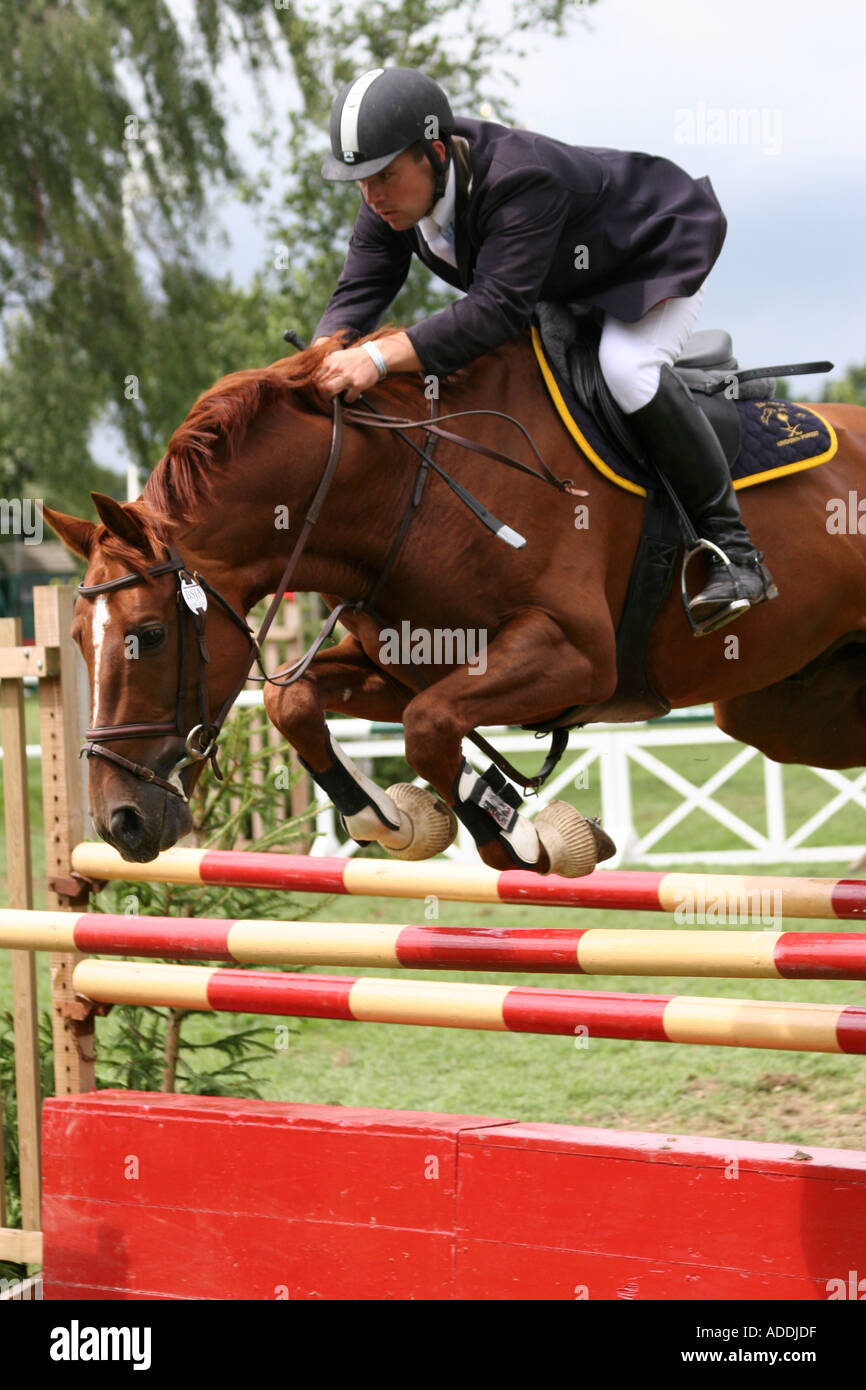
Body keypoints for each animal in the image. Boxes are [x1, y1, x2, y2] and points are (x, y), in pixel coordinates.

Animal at [44, 332, 866, 873]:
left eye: (150, 634)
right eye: (79, 641)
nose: (120, 823)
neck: (398, 497)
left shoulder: (575, 658)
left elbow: (430, 725)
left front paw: (523, 835)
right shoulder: (403, 662)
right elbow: (296, 701)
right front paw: (391, 819)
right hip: (780, 710)